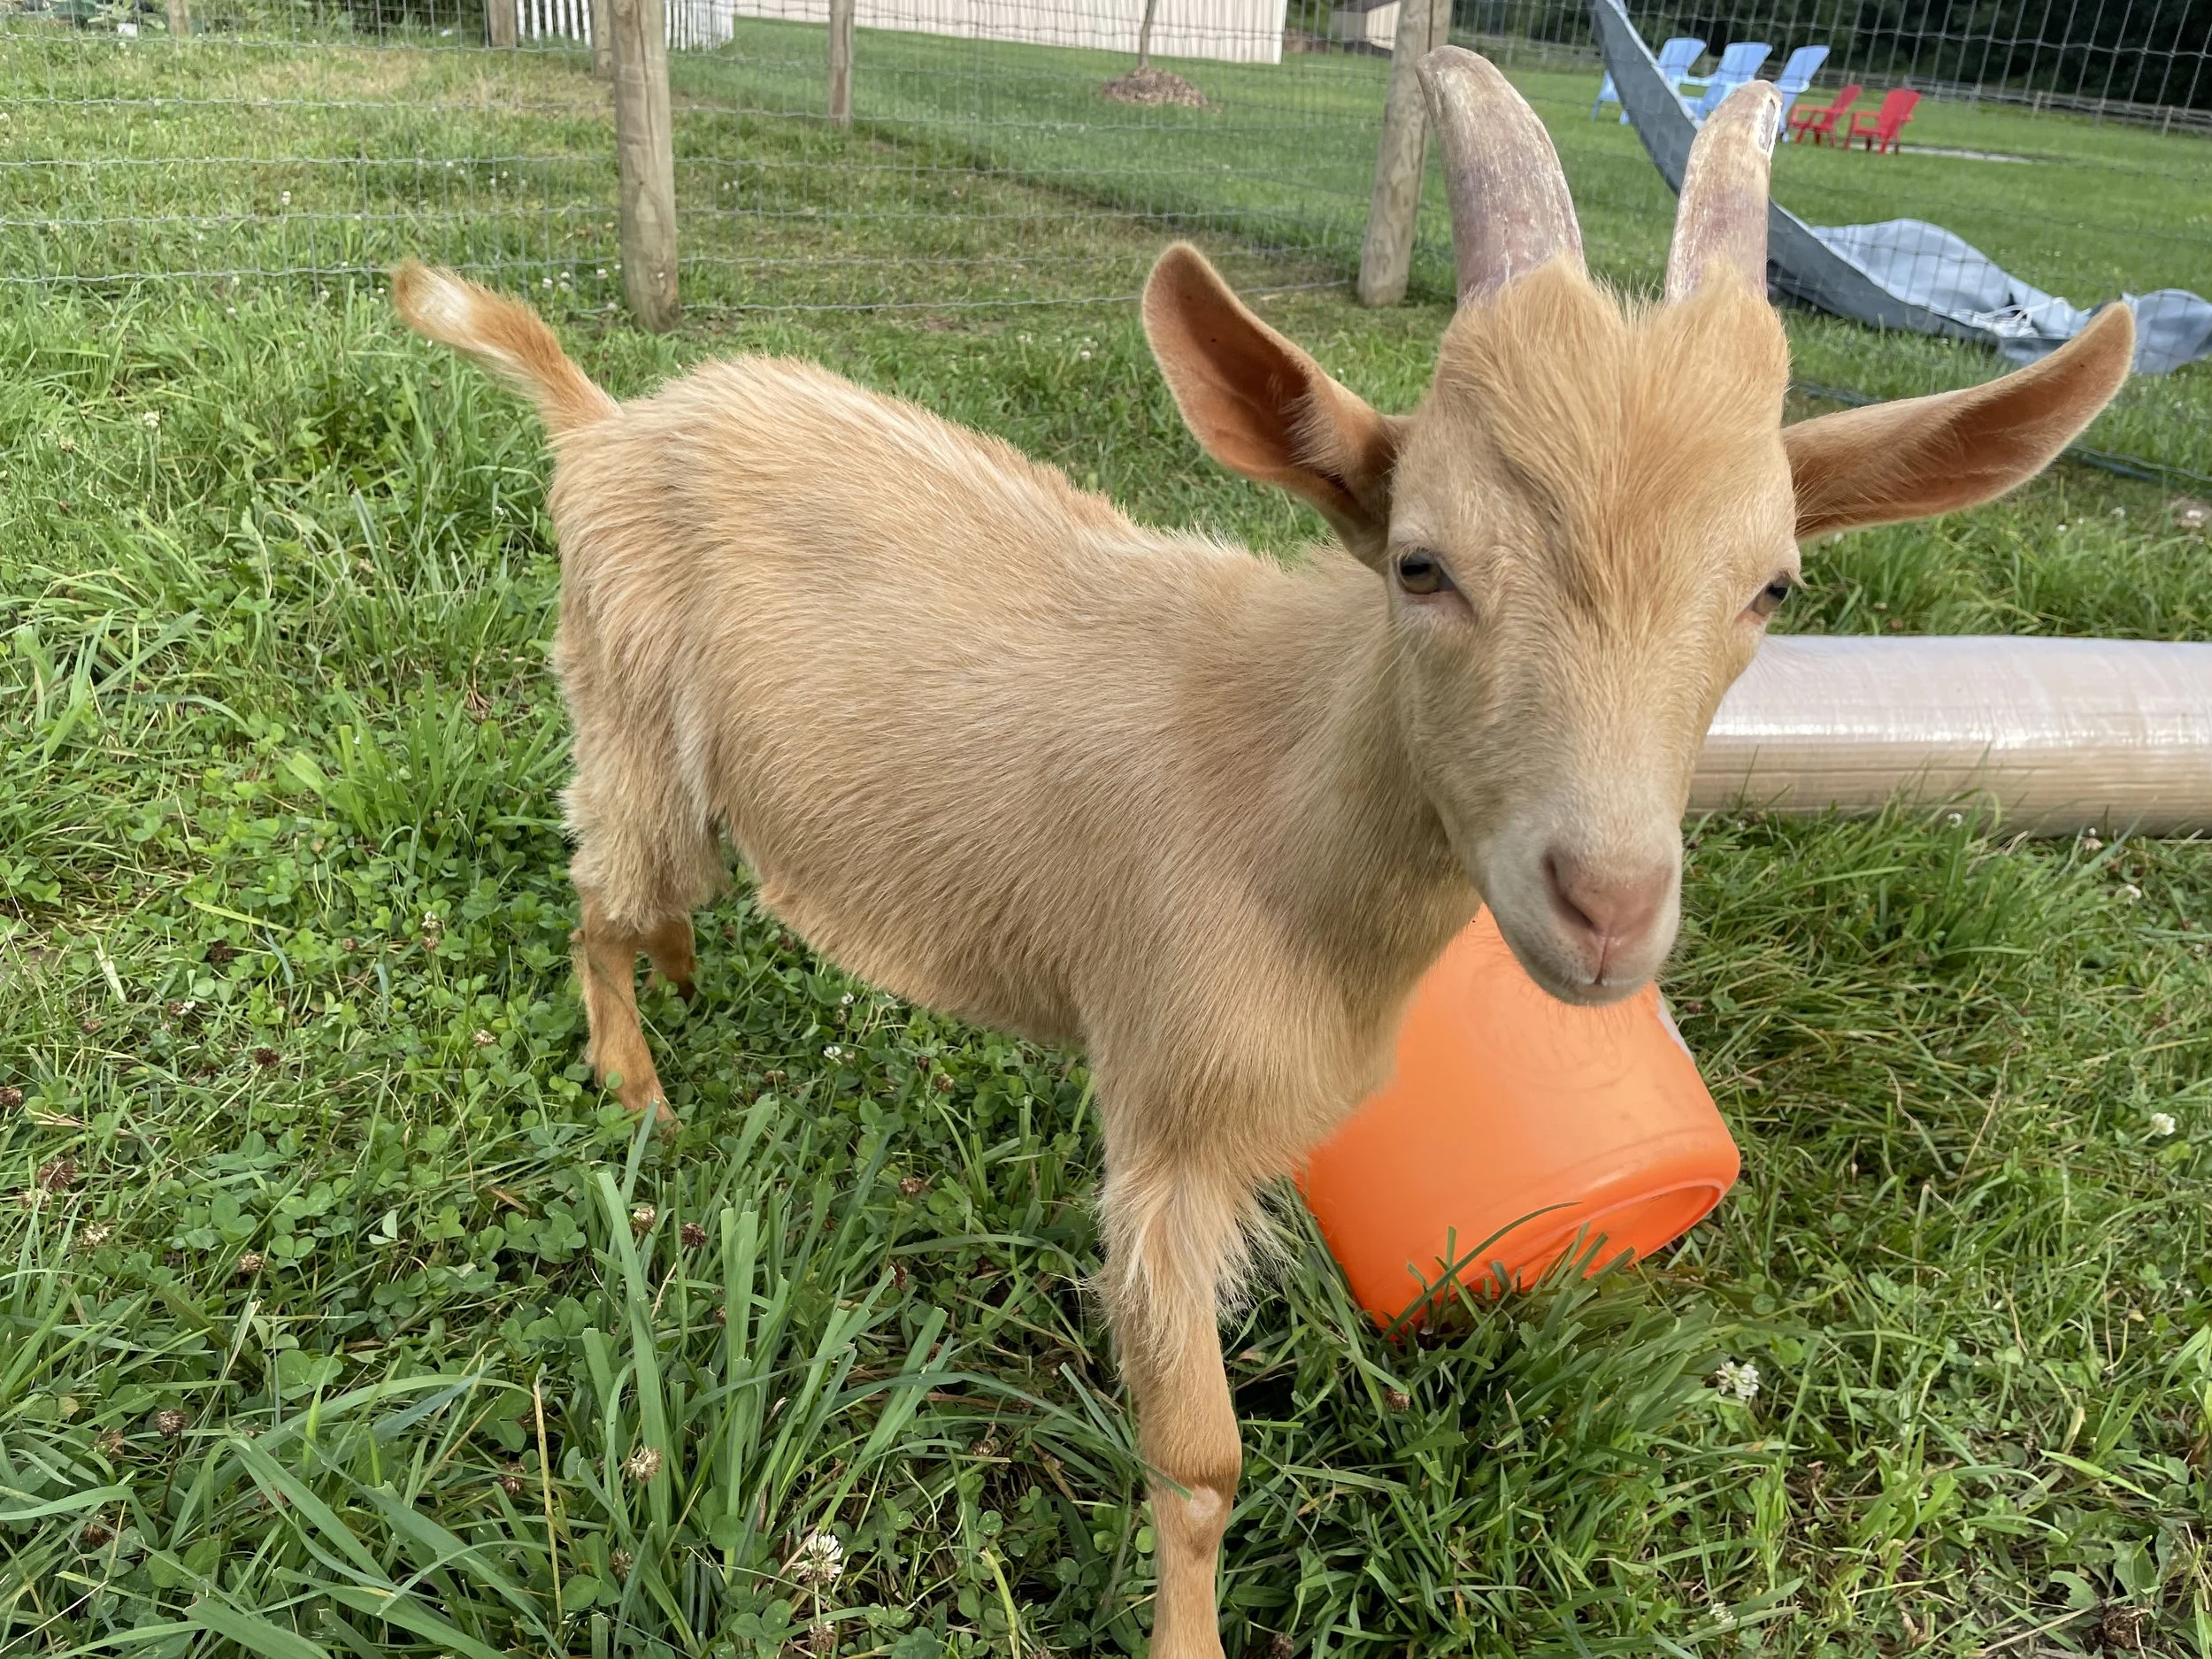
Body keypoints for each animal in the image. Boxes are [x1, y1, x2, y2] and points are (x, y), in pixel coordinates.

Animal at [394, 50, 2131, 1656]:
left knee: (661, 890)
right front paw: (1187, 1634)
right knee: (599, 891)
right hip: (624, 701)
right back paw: (635, 1084)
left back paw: (686, 980)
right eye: (1420, 564)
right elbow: (1202, 1461)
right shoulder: (1168, 1119)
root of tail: (604, 416)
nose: (1606, 906)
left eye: (1775, 587)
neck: (1288, 797)